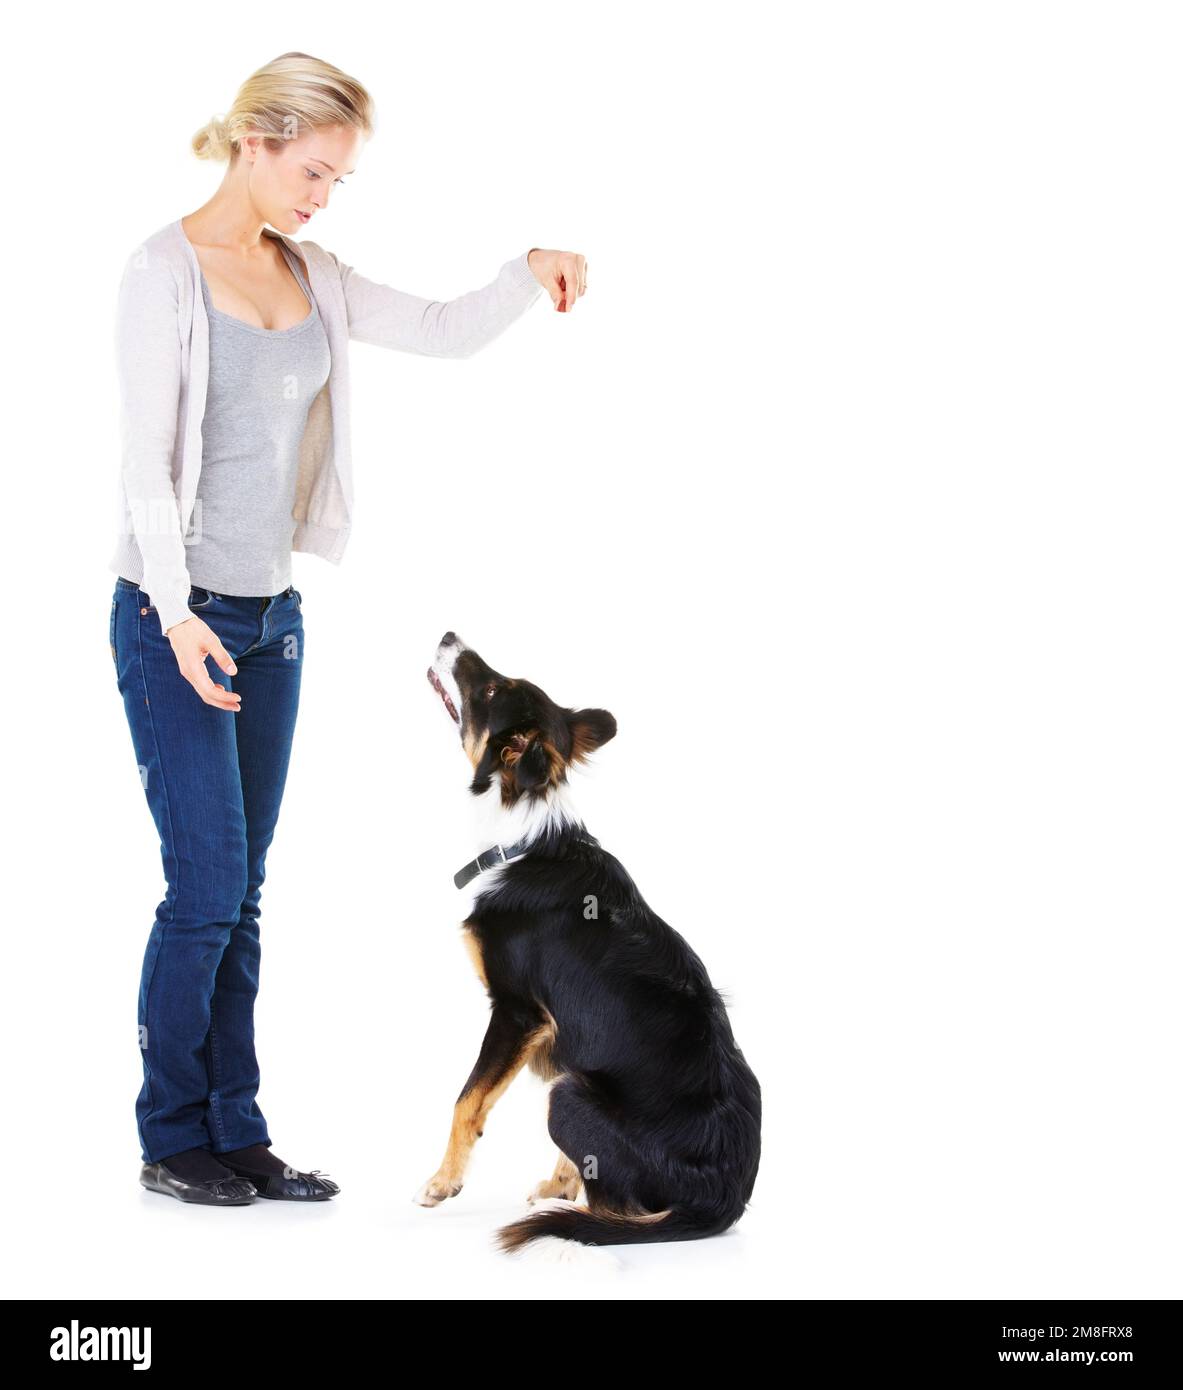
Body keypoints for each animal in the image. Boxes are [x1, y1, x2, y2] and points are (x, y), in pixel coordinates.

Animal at [419, 631, 767, 1251]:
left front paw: (443, 1181)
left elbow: (466, 1100)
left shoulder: (518, 1013)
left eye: (490, 690)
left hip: (567, 1095)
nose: (448, 634)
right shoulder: (561, 1038)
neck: (520, 834)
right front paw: (559, 1182)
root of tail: (722, 1203)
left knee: (616, 1211)